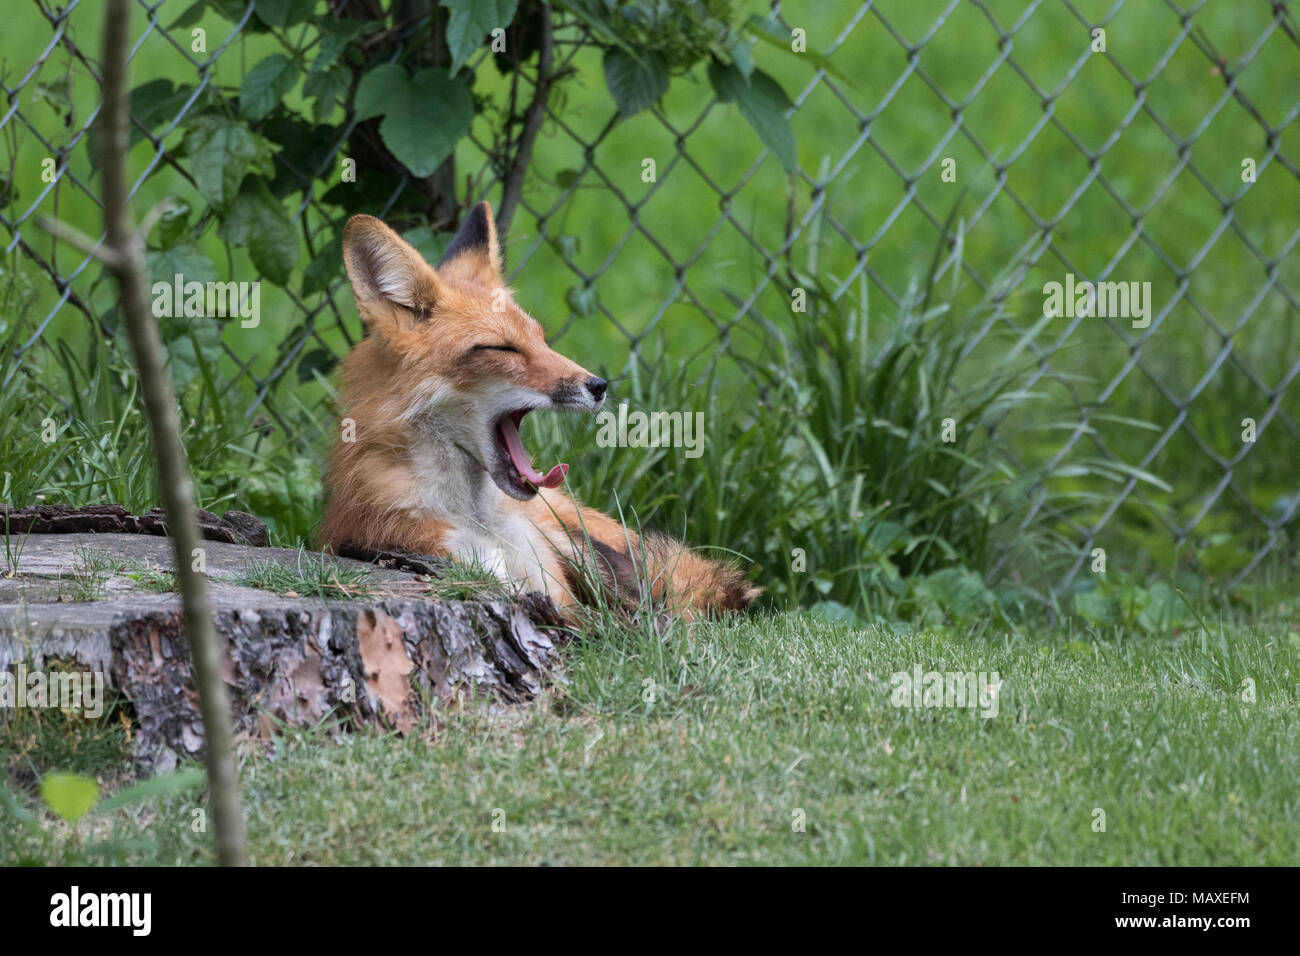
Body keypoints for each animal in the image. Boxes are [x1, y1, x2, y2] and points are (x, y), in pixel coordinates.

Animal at [318, 202, 760, 620]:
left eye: (542, 340)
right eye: (501, 348)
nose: (598, 386)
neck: (480, 520)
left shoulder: (552, 578)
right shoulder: (457, 561)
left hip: (576, 529)